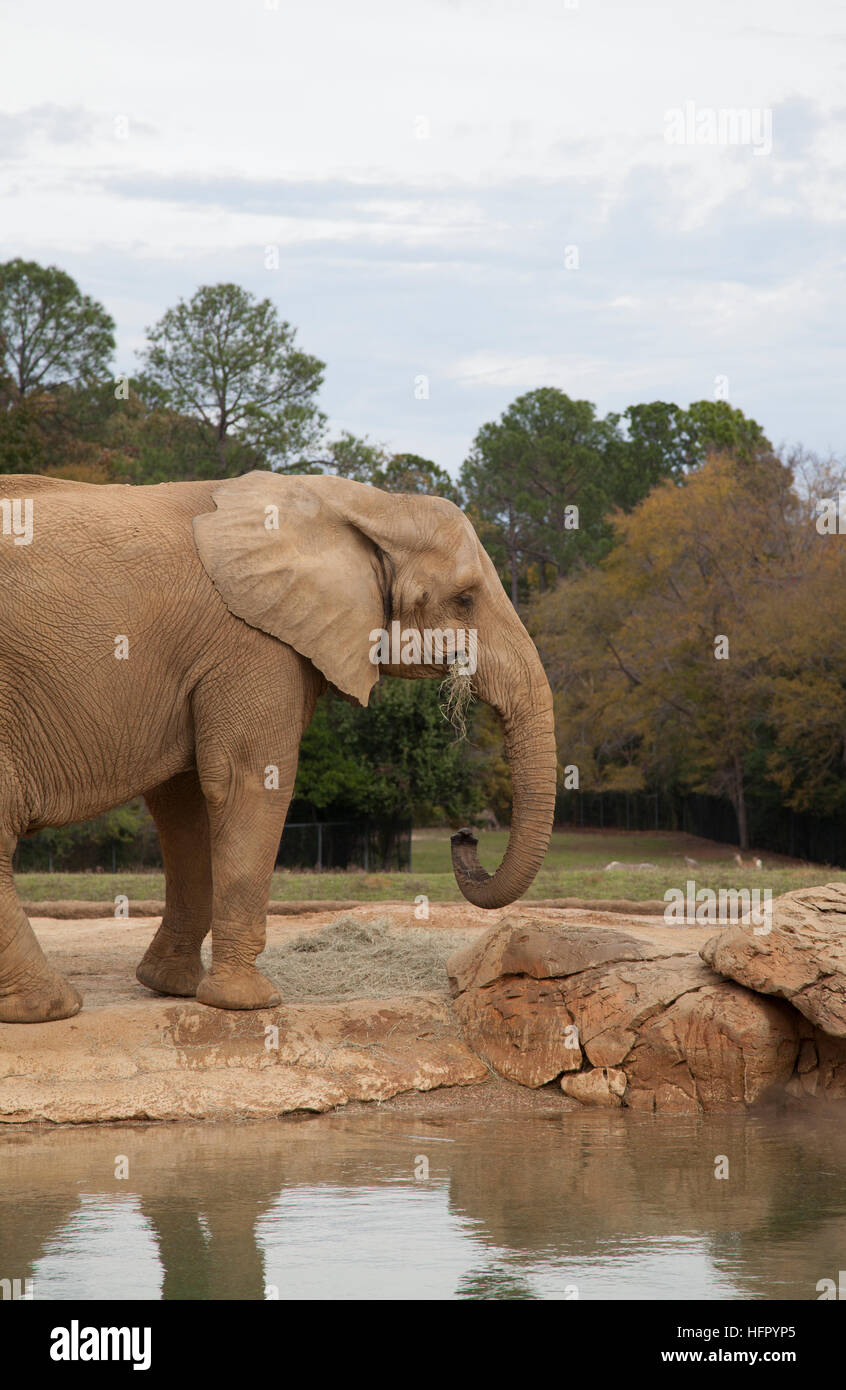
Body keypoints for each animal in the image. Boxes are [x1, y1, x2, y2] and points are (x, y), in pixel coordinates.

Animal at [0, 470, 556, 1022]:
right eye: (464, 598)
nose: (464, 835)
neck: (363, 502)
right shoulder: (253, 642)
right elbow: (247, 779)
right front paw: (248, 1003)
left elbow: (185, 801)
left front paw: (173, 988)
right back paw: (51, 1006)